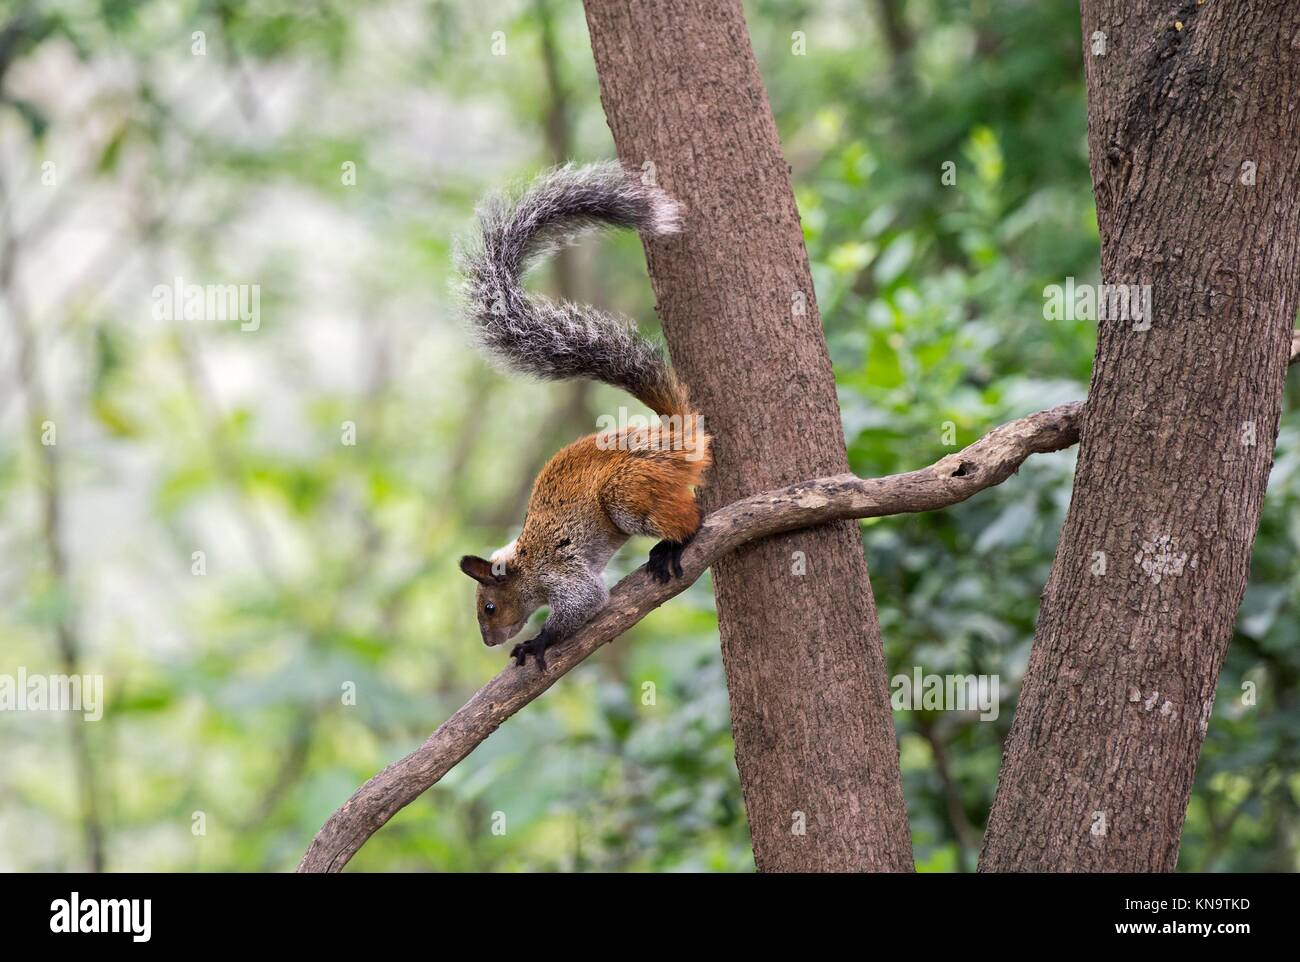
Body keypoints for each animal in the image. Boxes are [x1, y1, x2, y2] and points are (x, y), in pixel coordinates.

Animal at [455, 162, 711, 671]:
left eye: (488, 606)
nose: (488, 642)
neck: (526, 562)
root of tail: (676, 436)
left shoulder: (561, 572)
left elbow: (585, 603)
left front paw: (537, 641)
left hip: (628, 492)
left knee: (693, 516)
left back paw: (672, 546)